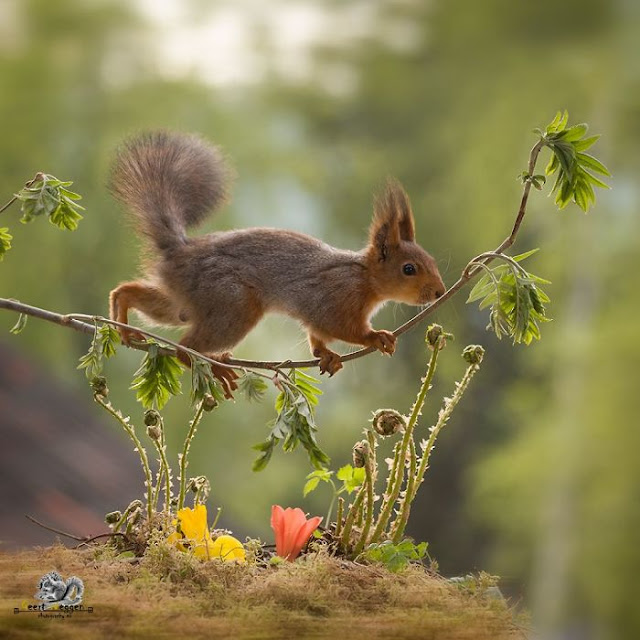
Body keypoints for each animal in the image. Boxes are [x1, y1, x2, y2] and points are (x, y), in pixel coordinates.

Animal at [108, 131, 446, 398]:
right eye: (409, 269)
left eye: (432, 260)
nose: (439, 292)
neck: (364, 278)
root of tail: (181, 250)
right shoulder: (336, 299)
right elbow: (341, 327)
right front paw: (375, 337)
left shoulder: (317, 315)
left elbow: (317, 336)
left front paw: (326, 355)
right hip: (232, 305)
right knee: (183, 347)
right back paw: (213, 367)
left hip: (185, 303)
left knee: (134, 294)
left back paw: (122, 320)